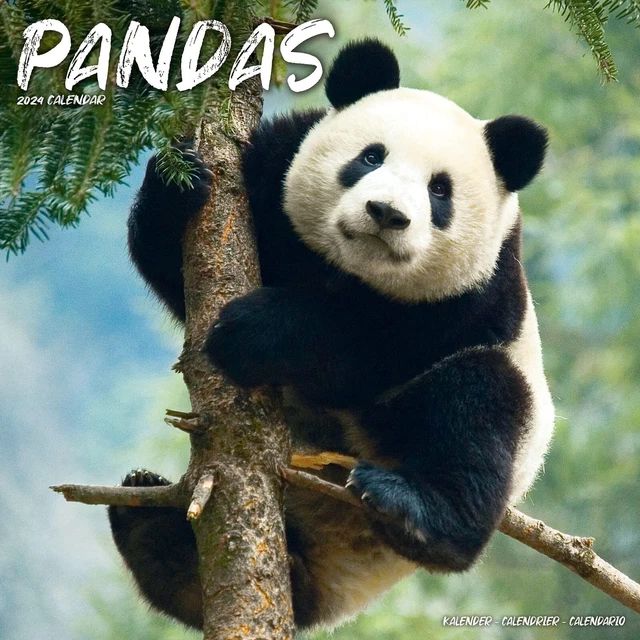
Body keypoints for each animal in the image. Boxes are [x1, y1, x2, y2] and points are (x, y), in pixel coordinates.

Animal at [109, 39, 555, 632]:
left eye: (440, 191)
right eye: (370, 157)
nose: (386, 213)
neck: (347, 269)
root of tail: (338, 571)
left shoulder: (475, 295)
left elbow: (365, 354)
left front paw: (256, 330)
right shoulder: (273, 174)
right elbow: (175, 272)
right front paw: (177, 184)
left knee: (481, 401)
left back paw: (413, 512)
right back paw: (151, 530)